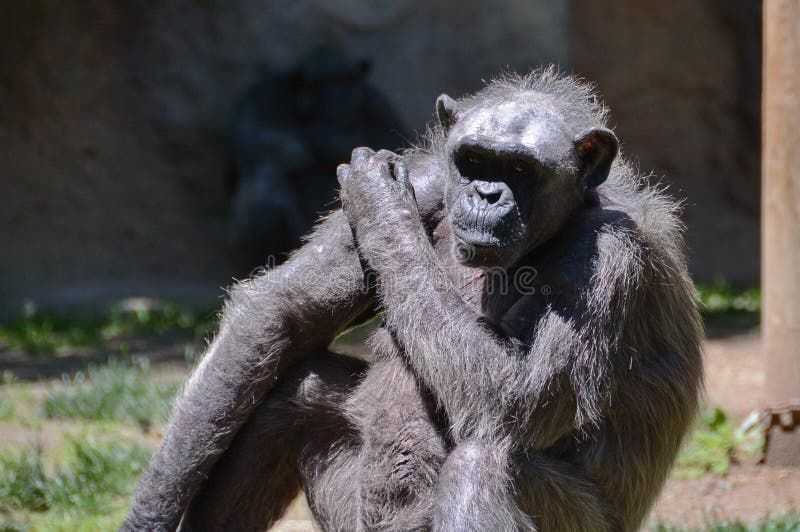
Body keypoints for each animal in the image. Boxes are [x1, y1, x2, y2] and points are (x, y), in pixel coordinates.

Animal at [124, 69, 703, 531]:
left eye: (520, 169)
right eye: (474, 159)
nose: (486, 193)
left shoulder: (607, 260)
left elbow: (517, 396)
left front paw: (379, 204)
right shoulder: (428, 179)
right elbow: (282, 310)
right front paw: (149, 516)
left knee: (483, 469)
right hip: (350, 516)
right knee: (294, 392)